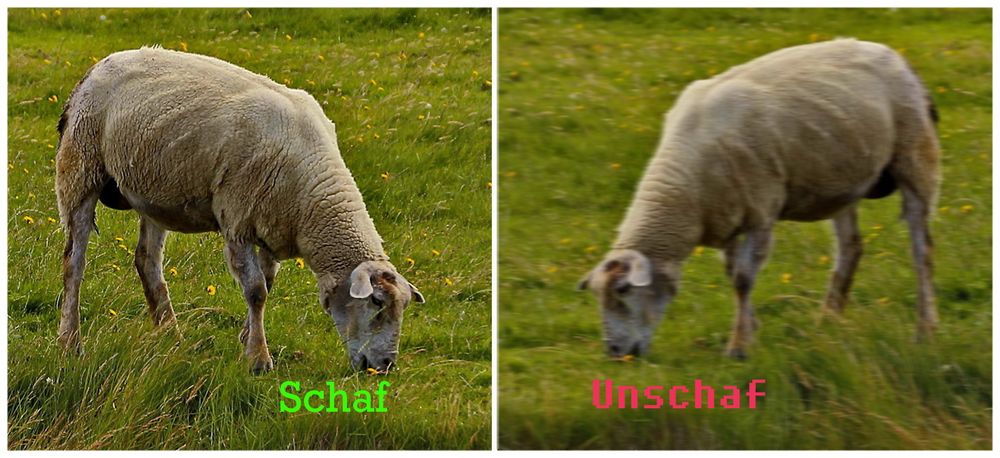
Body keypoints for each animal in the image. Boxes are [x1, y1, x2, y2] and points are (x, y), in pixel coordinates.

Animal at [55, 47, 424, 374]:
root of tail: (100, 65)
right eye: (376, 303)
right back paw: (70, 341)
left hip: (152, 189)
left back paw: (170, 334)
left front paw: (248, 339)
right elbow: (256, 291)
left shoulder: (273, 225)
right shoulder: (238, 219)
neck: (312, 201)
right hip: (80, 167)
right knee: (74, 262)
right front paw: (258, 359)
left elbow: (267, 284)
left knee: (146, 261)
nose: (386, 366)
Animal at [578, 39, 940, 360]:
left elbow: (742, 280)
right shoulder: (726, 218)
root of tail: (892, 53)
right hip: (844, 179)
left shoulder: (760, 212)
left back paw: (926, 329)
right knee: (851, 247)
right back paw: (828, 319)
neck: (684, 193)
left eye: (623, 291)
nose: (615, 353)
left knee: (921, 250)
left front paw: (738, 346)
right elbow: (733, 275)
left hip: (914, 156)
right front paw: (751, 329)